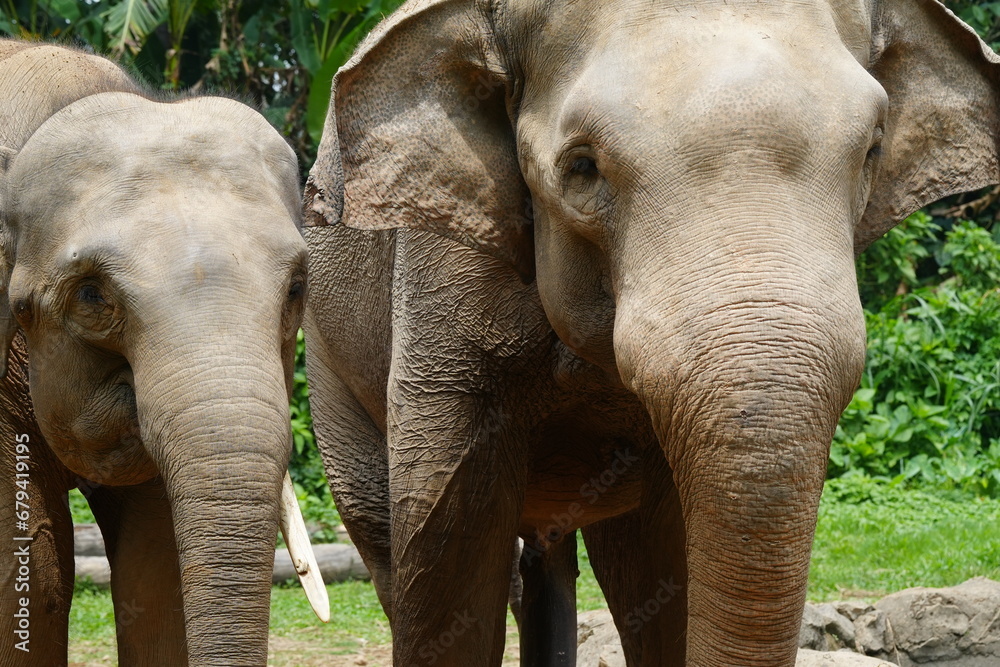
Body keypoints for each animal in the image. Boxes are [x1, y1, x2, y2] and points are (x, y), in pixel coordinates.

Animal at [302, 0, 1000, 665]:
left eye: (873, 151)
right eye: (583, 168)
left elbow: (666, 569)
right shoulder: (440, 282)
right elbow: (450, 550)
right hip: (328, 363)